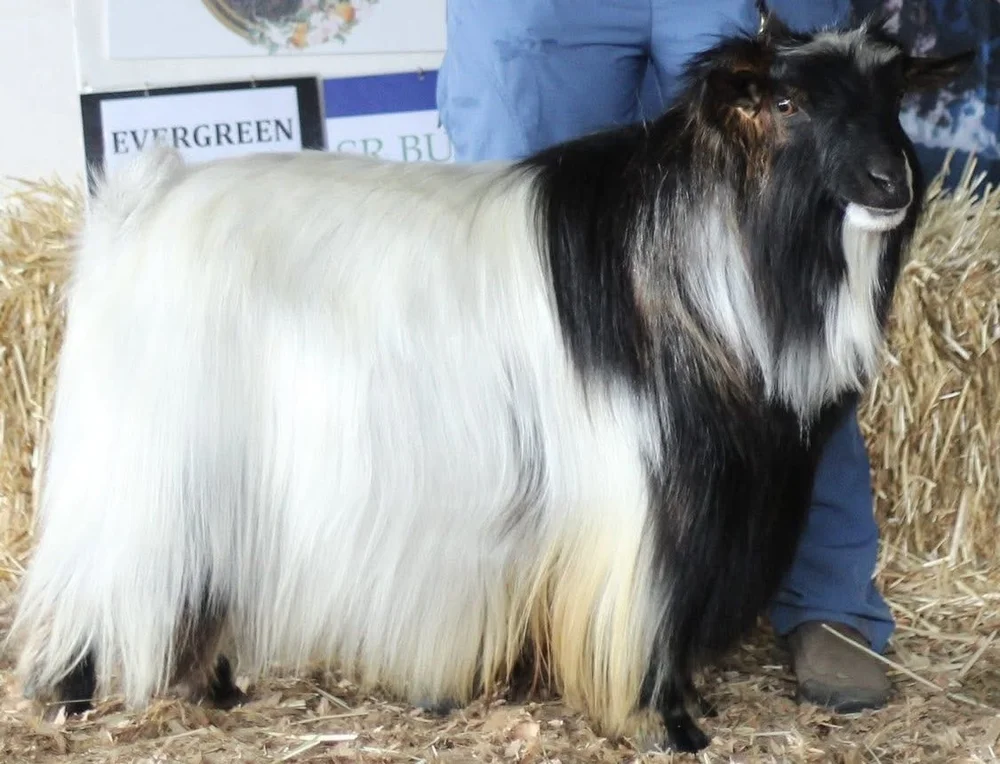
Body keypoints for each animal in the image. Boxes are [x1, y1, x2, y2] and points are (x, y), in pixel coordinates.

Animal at [7, 2, 971, 753]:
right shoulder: (644, 496)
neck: (709, 246)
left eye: (892, 101)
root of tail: (141, 207)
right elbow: (647, 619)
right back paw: (71, 700)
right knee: (102, 580)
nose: (891, 181)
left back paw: (215, 688)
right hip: (146, 464)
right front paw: (672, 727)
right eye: (784, 101)